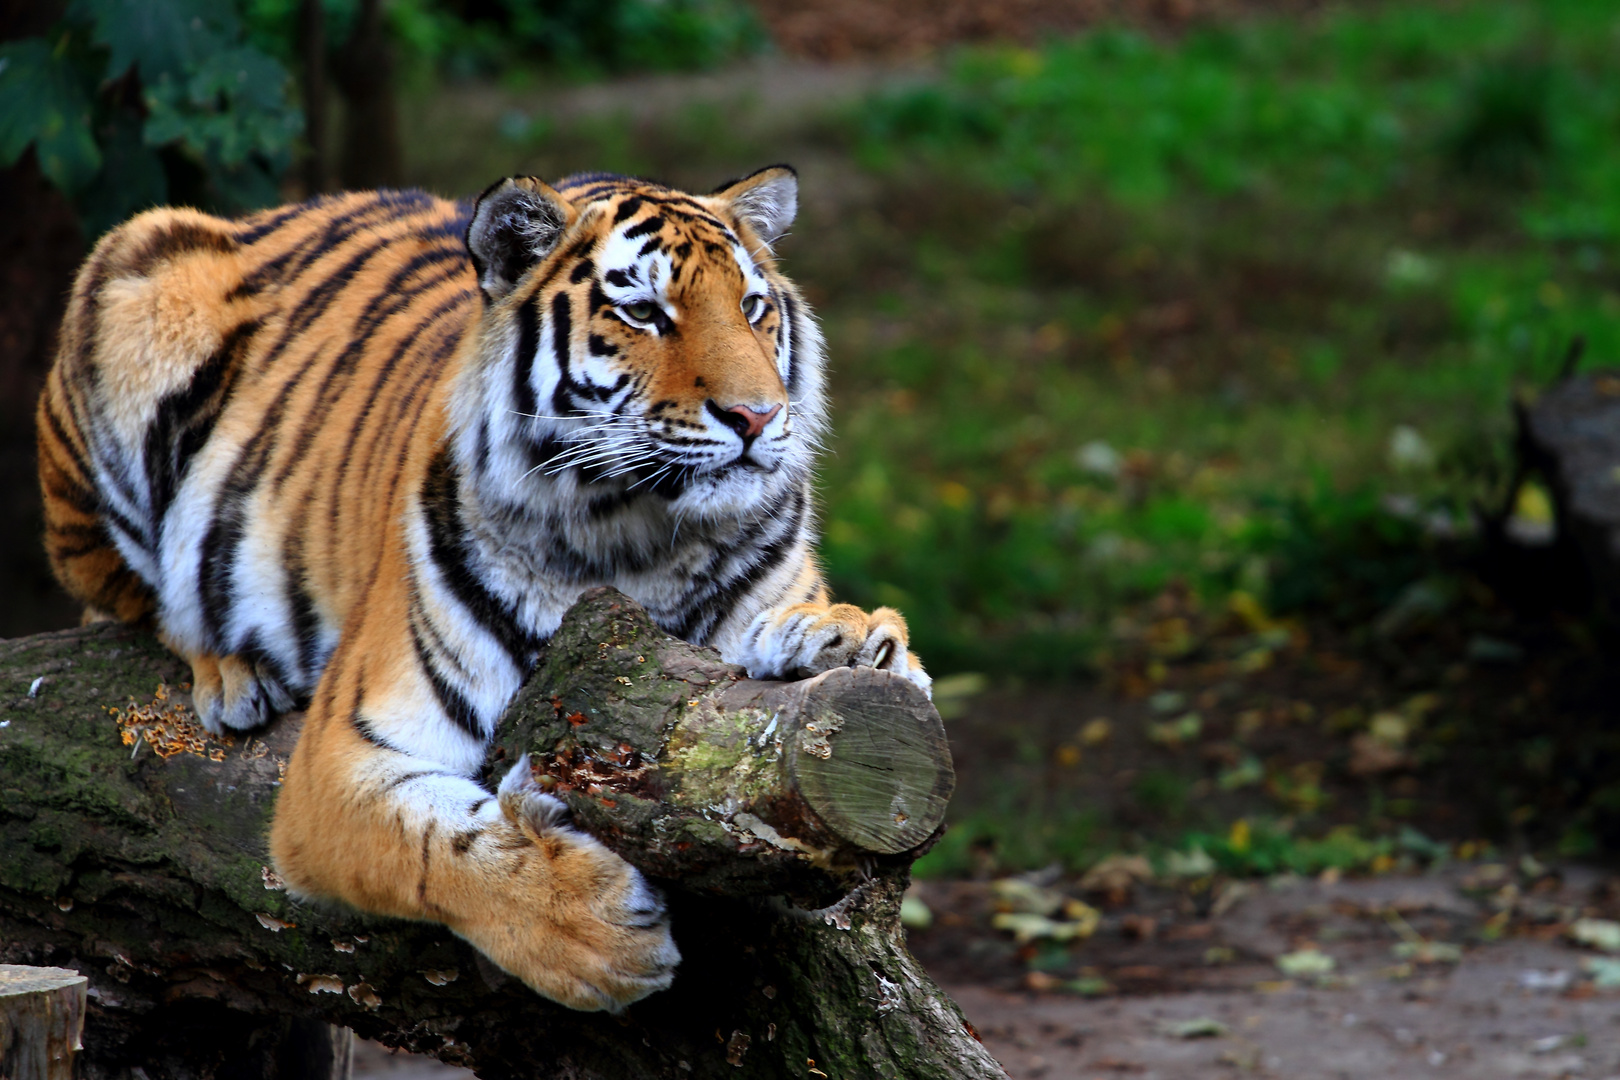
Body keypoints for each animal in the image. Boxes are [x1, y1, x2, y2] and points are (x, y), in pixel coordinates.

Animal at [35, 165, 931, 1012]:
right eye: (643, 312)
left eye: (752, 307)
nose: (757, 418)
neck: (636, 533)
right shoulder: (339, 761)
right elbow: (443, 851)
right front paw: (600, 929)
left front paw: (850, 640)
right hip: (138, 275)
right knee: (130, 597)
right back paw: (232, 670)